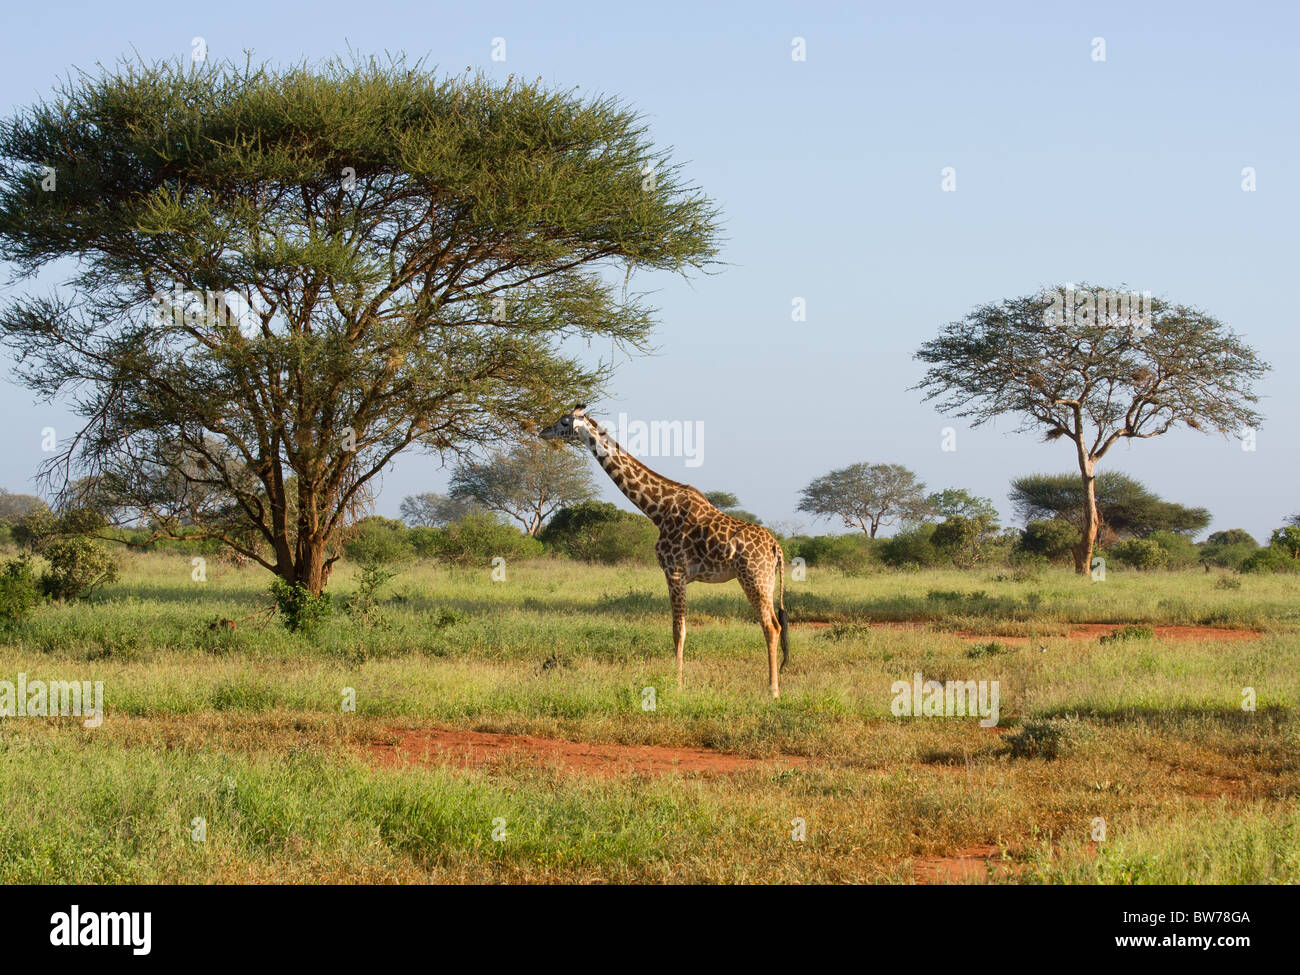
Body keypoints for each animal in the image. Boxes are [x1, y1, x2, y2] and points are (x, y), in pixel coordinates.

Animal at [540, 405, 789, 697]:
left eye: (563, 421)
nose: (543, 431)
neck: (658, 509)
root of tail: (776, 547)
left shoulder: (675, 572)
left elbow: (678, 630)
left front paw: (677, 684)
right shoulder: (679, 575)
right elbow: (680, 629)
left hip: (754, 578)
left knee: (770, 626)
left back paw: (773, 691)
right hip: (765, 581)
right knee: (777, 624)